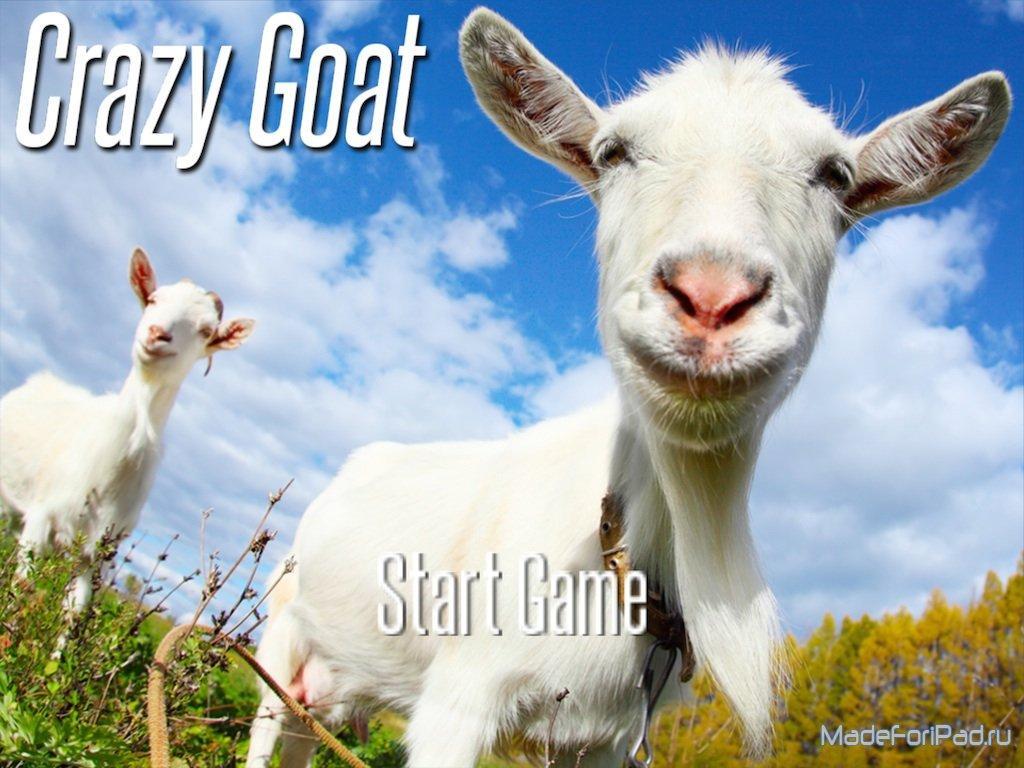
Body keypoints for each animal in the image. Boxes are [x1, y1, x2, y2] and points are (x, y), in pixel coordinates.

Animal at [0, 248, 254, 611]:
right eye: (153, 300)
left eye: (206, 331)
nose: (157, 334)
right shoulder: (40, 517)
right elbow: (21, 586)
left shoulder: (97, 553)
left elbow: (76, 611)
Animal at [246, 9, 1010, 766]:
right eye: (613, 153)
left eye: (835, 174)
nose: (711, 296)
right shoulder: (458, 701)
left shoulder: (605, 739)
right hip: (280, 638)